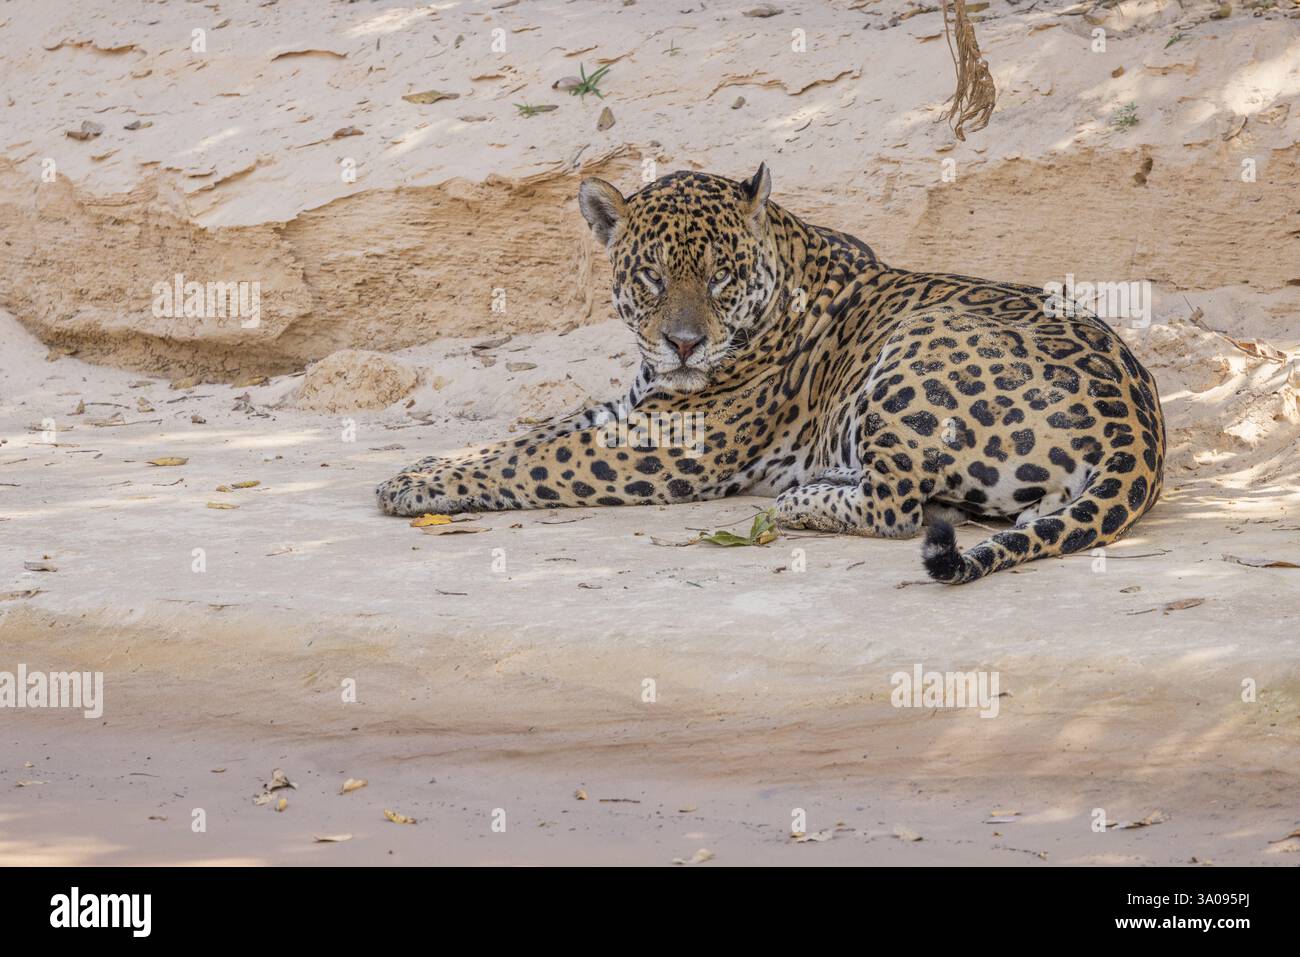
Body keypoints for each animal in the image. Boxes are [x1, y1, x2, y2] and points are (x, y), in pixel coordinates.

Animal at [376, 164, 1165, 584]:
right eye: (652, 276)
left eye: (721, 277)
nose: (685, 344)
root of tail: (1140, 432)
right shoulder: (634, 408)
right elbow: (526, 438)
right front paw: (423, 468)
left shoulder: (671, 444)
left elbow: (537, 459)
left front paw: (409, 484)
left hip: (918, 344)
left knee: (899, 507)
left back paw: (799, 499)